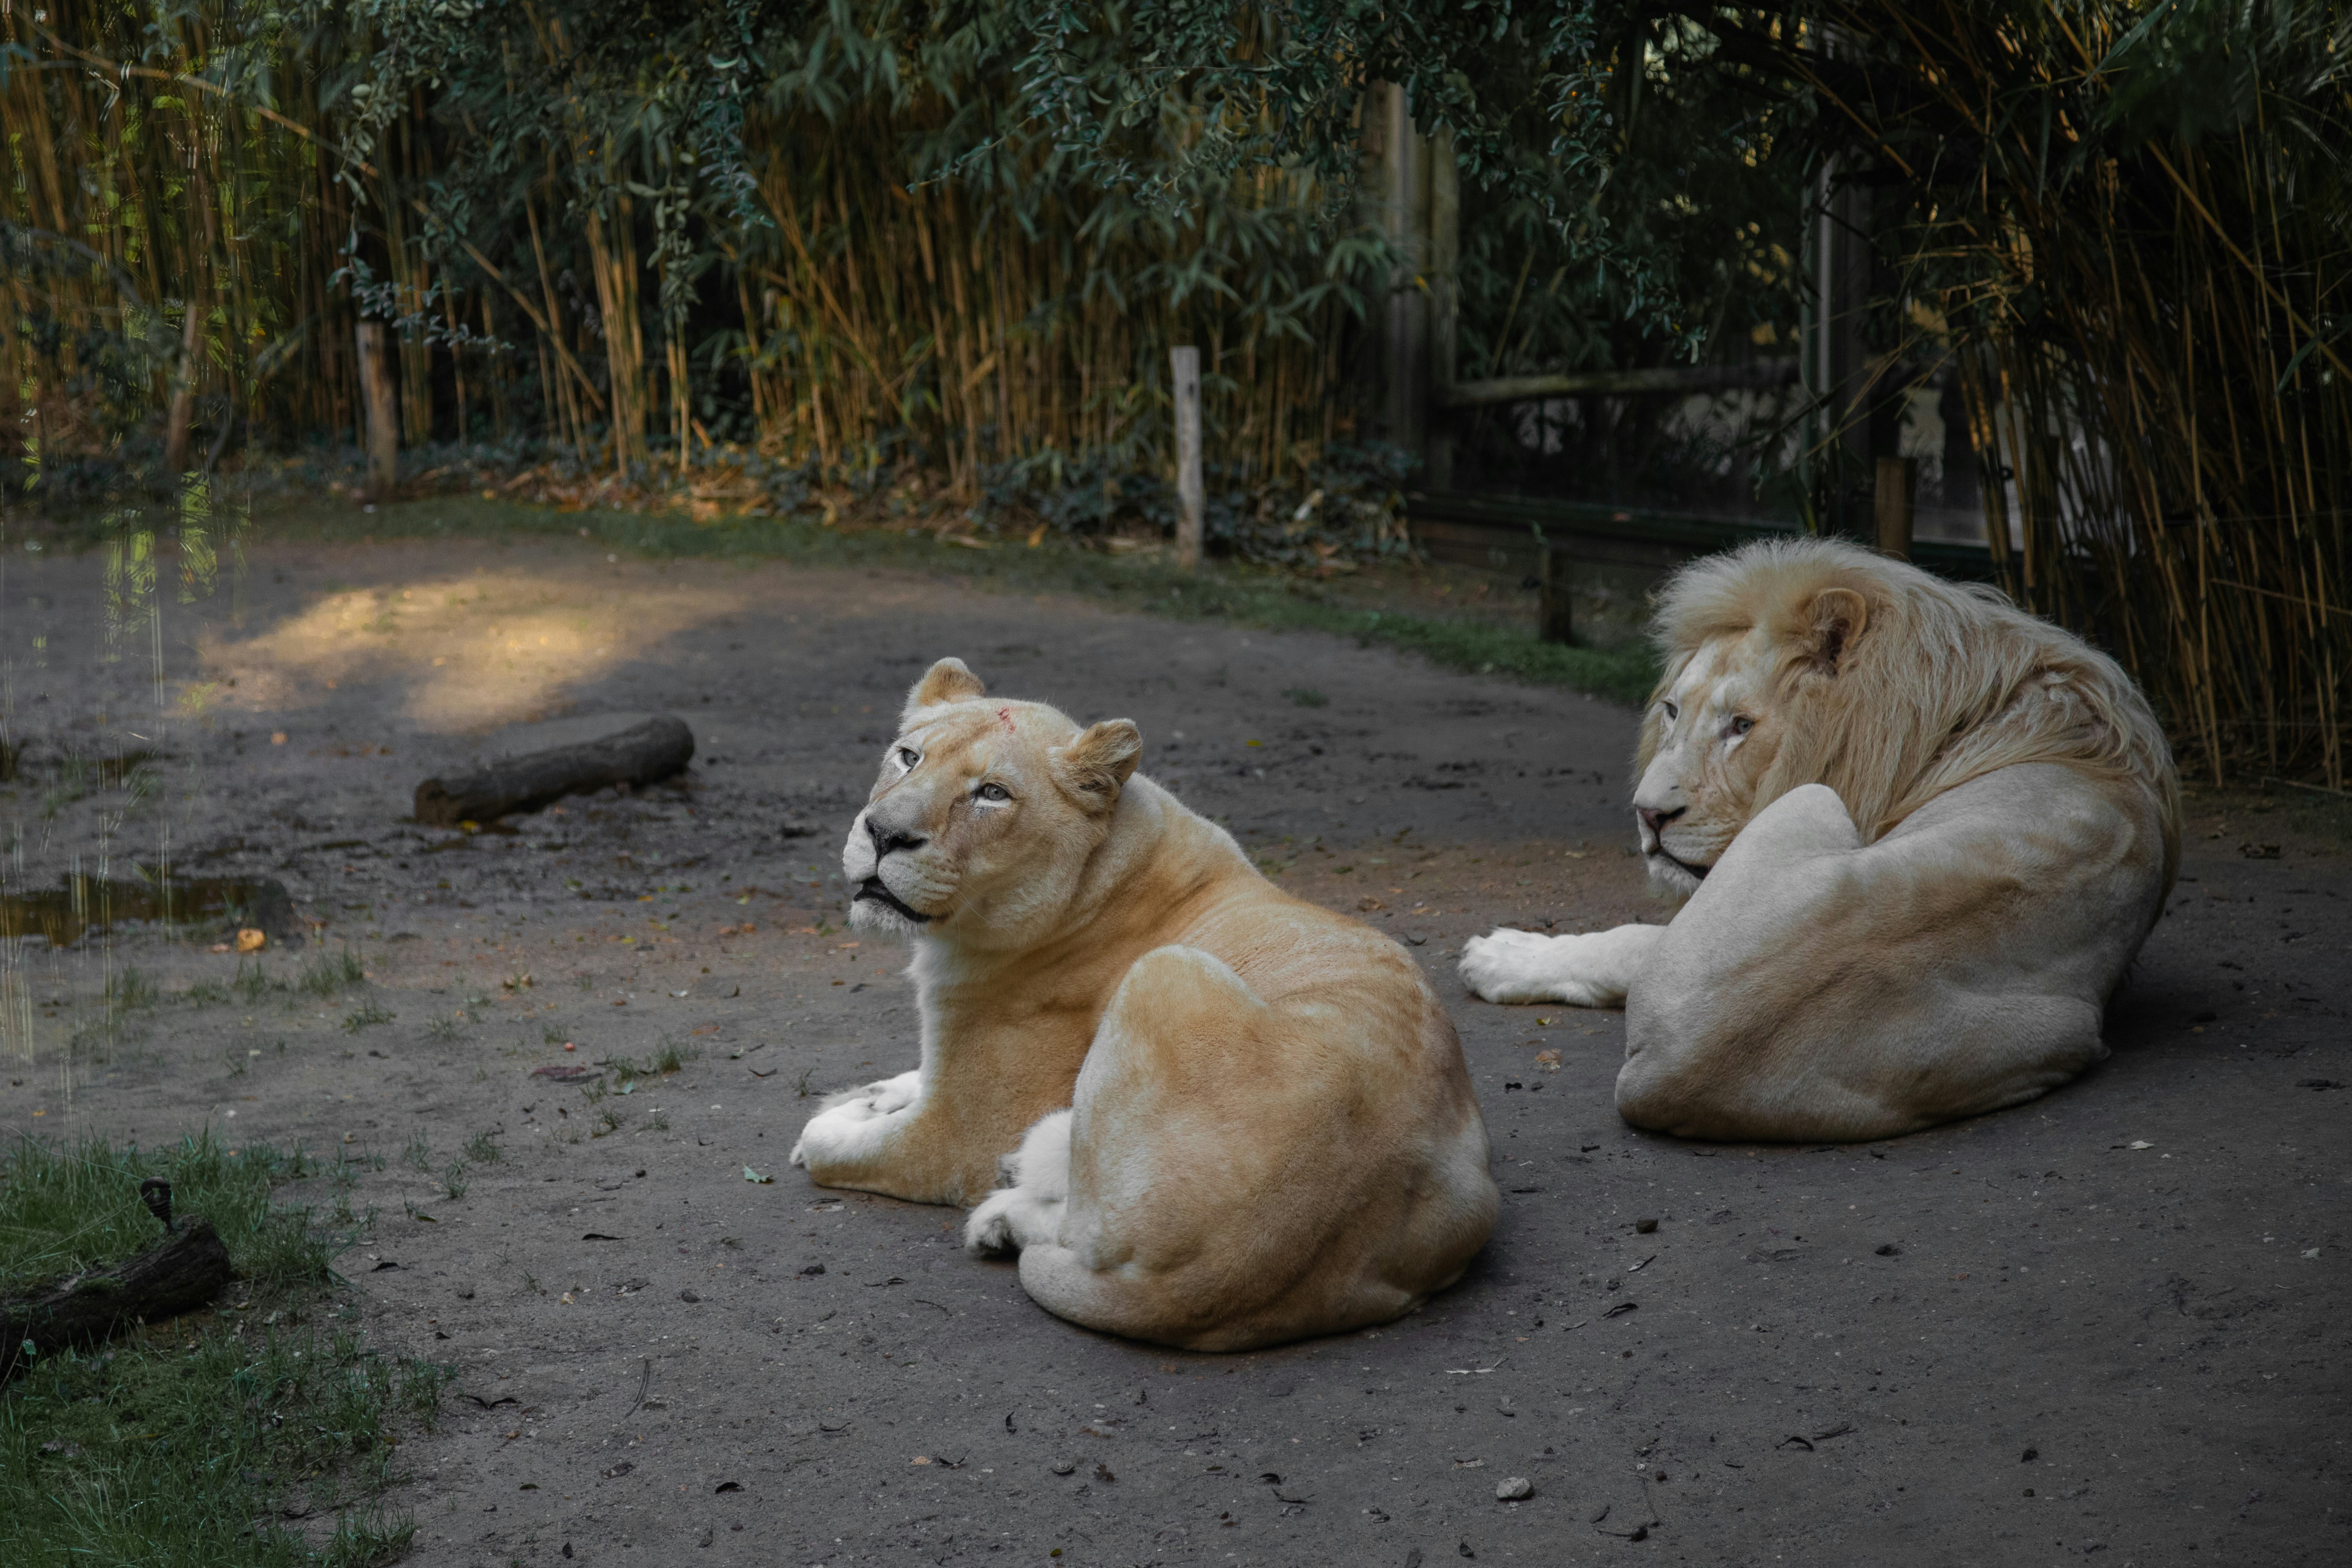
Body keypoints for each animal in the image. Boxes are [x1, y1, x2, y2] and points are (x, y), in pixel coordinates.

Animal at [789, 658, 1498, 1350]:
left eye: (992, 793)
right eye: (908, 757)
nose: (883, 834)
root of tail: (1223, 1281)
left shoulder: (959, 1138)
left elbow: (833, 1149)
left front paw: (830, 1127)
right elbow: (909, 1078)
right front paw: (872, 1095)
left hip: (1164, 972)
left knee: (1078, 1227)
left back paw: (1000, 1219)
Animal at [1460, 536, 2180, 1142]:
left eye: (1740, 726)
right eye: (1671, 710)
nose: (1648, 815)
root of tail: (1671, 1064)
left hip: (1812, 806)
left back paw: (1497, 956)